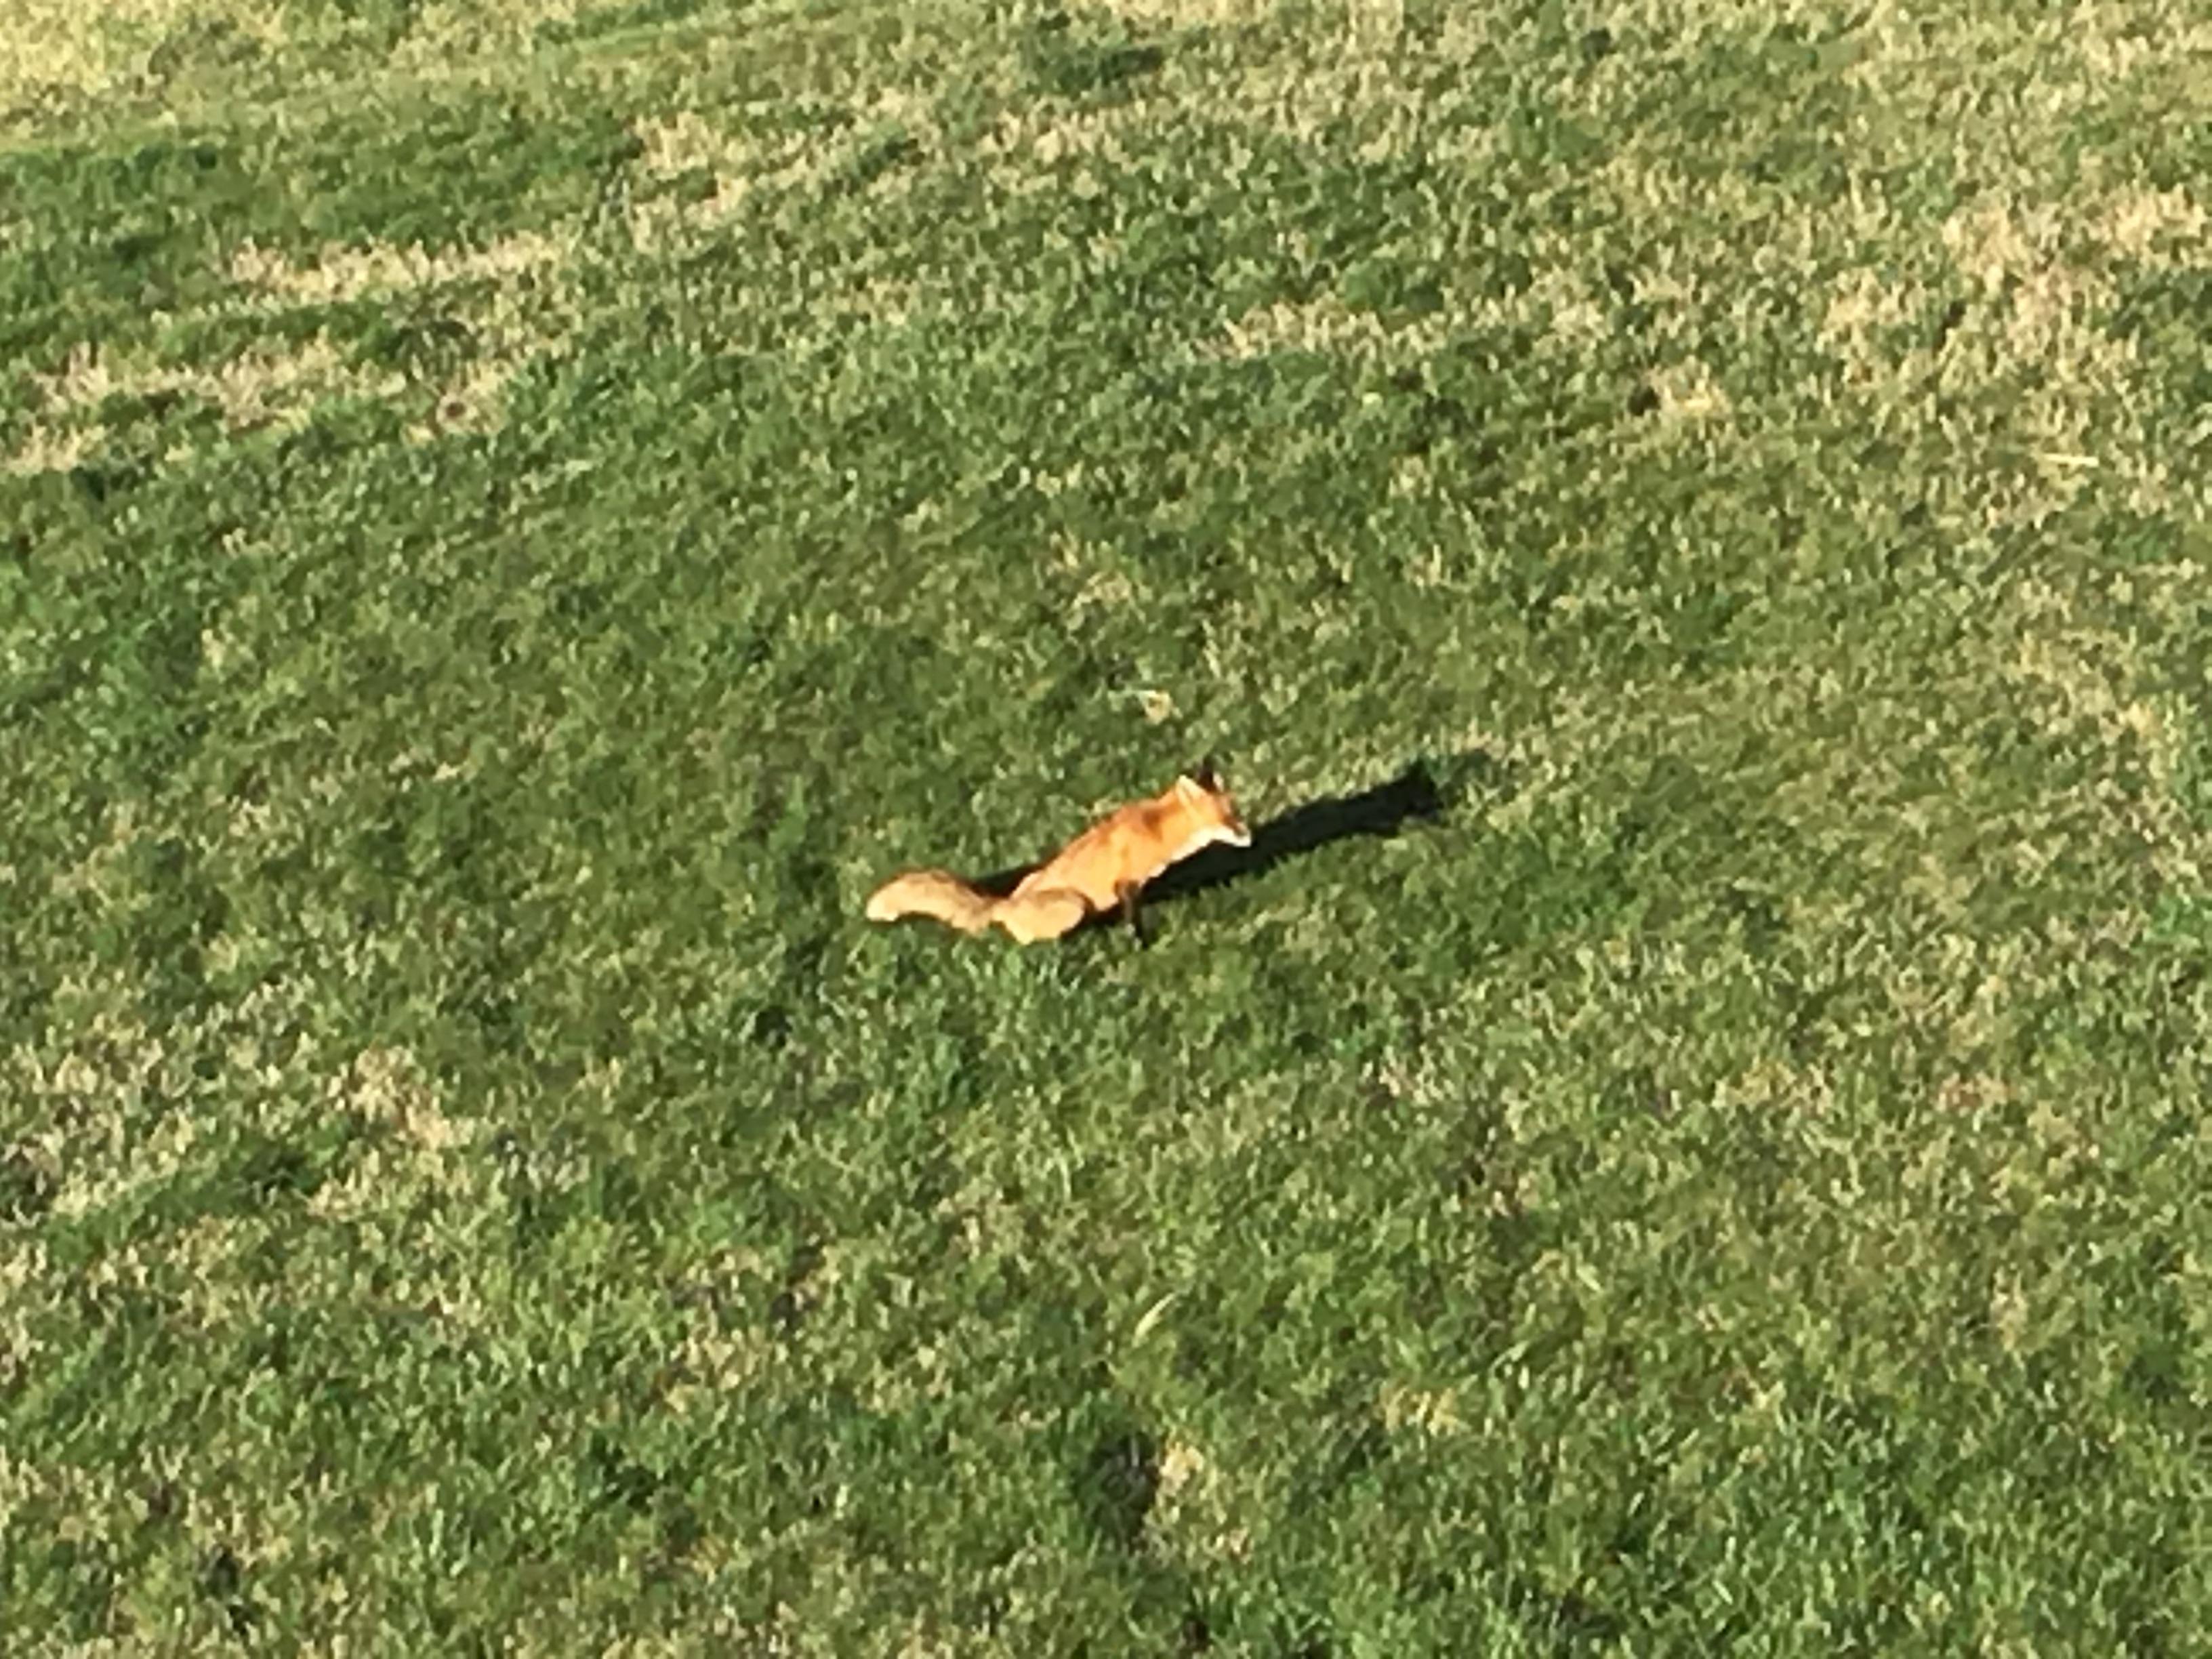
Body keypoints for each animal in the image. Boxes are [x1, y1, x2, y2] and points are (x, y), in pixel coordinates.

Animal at [865, 767, 1253, 944]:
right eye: (1227, 819)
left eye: (1236, 812)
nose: (1248, 837)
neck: (1156, 829)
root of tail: (1003, 904)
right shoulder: (1124, 882)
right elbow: (1134, 919)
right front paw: (1140, 944)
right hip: (1072, 904)